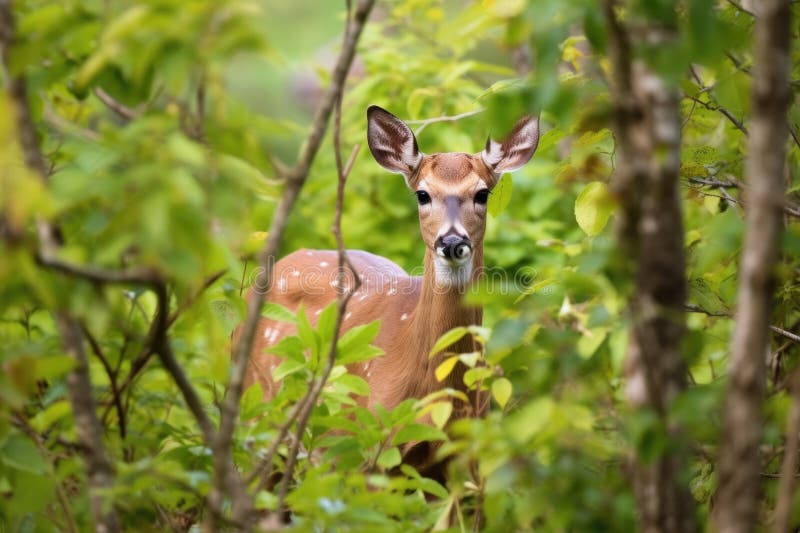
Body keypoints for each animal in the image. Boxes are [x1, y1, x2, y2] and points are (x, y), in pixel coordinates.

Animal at [240, 105, 539, 478]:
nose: (452, 241)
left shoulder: (463, 459)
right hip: (257, 412)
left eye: (482, 193)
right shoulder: (368, 449)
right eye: (422, 194)